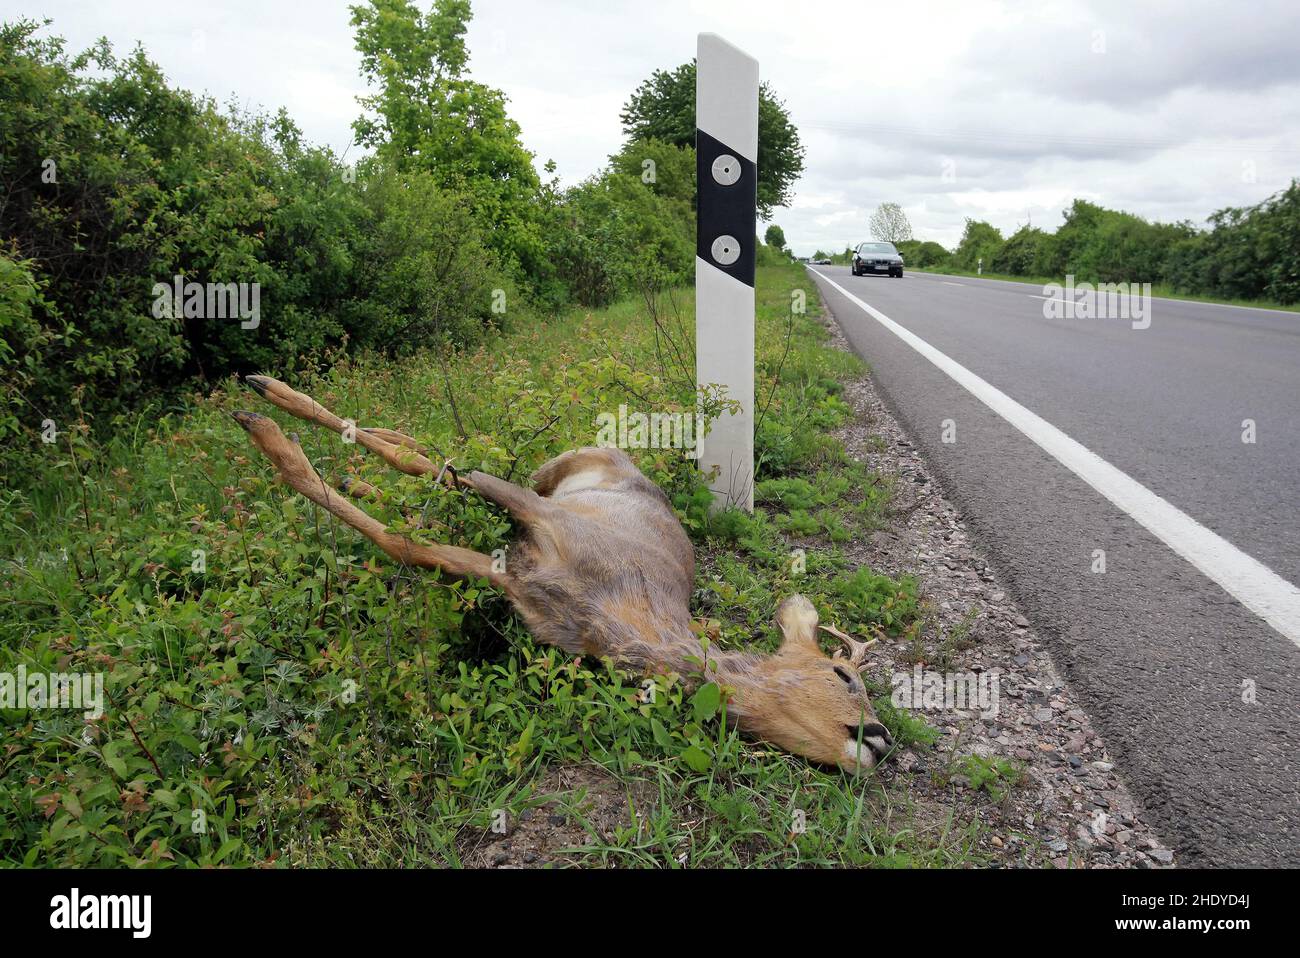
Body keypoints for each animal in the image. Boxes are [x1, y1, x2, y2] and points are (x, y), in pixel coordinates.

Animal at [231, 375, 895, 773]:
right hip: (546, 477)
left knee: (429, 460)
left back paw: (343, 463)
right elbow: (418, 490)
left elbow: (402, 544)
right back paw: (264, 398)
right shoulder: (544, 523)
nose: (884, 738)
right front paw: (279, 444)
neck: (612, 614)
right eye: (842, 674)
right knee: (430, 457)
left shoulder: (513, 580)